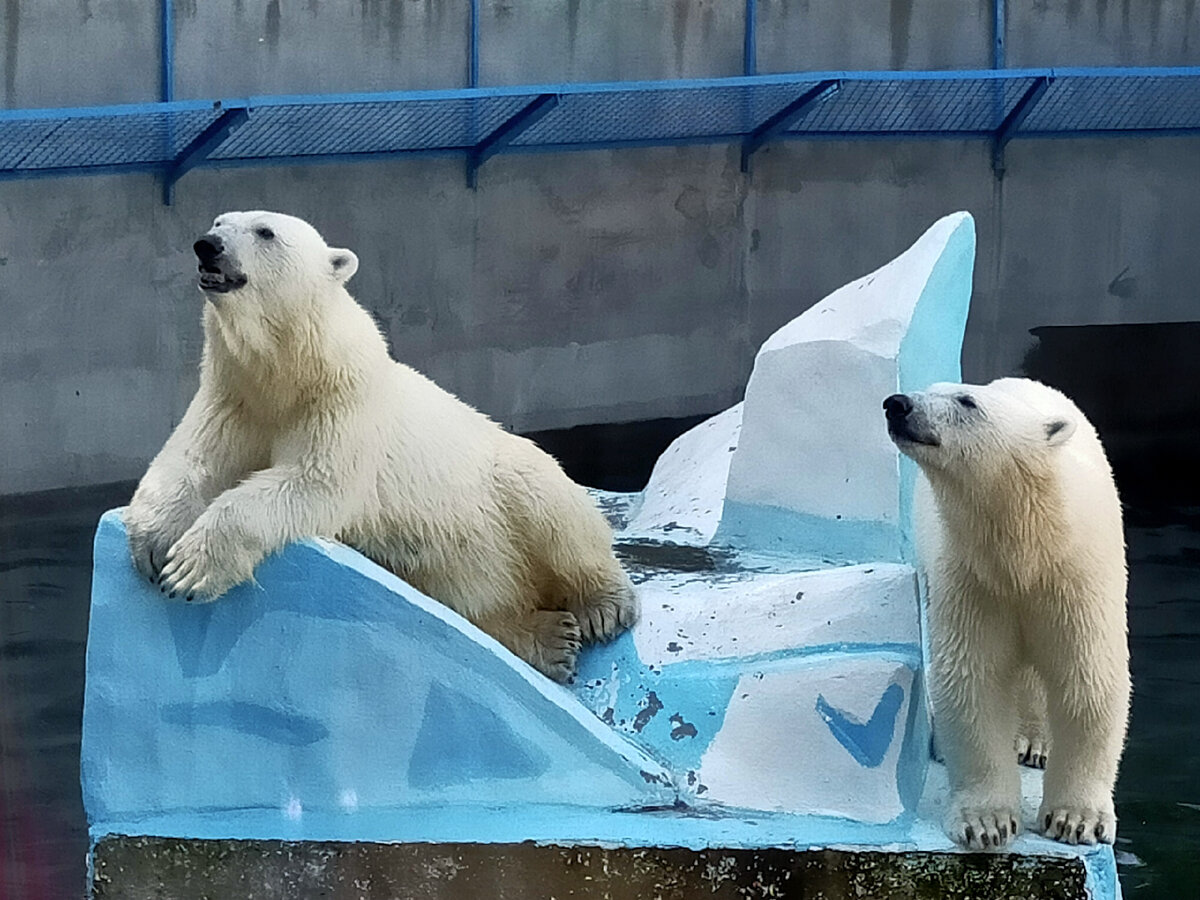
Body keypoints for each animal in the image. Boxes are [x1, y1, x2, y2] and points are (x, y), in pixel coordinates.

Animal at [124, 213, 638, 681]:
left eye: (264, 232)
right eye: (218, 221)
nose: (206, 245)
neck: (289, 370)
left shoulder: (343, 401)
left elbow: (314, 482)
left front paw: (191, 568)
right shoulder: (233, 398)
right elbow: (192, 460)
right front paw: (152, 542)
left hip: (500, 482)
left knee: (547, 501)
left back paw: (602, 605)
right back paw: (549, 641)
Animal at [883, 379, 1123, 854]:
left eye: (966, 401)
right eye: (931, 388)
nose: (897, 404)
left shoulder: (1077, 577)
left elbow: (1087, 678)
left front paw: (1075, 820)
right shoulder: (973, 580)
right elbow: (974, 681)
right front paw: (986, 823)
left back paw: (1037, 744)